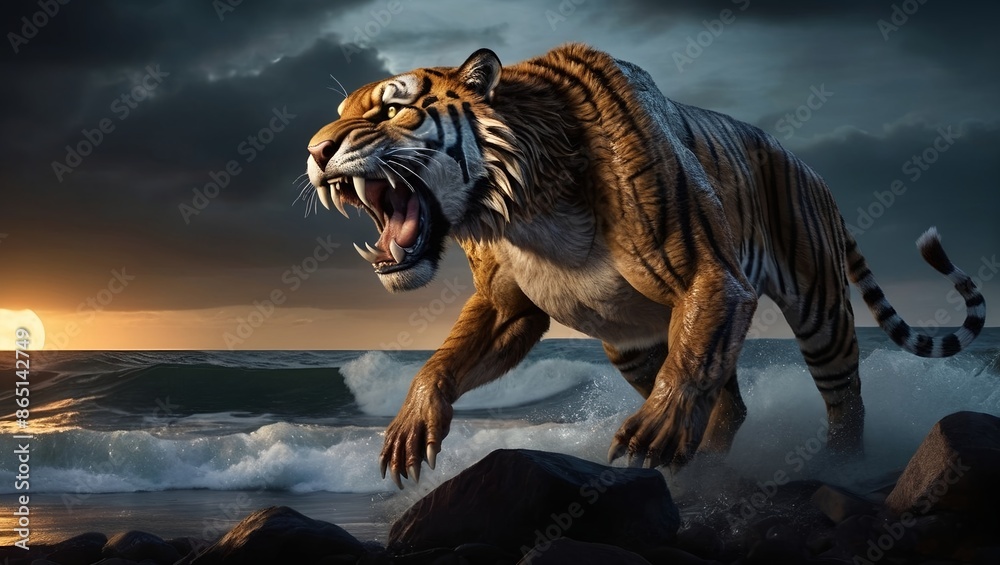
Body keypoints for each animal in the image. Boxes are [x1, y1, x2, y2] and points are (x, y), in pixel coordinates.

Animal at [305, 43, 986, 489]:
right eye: (339, 113)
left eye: (392, 111)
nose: (314, 149)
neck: (523, 208)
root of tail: (815, 174)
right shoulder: (506, 305)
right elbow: (446, 357)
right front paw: (413, 421)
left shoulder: (711, 276)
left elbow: (687, 371)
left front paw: (655, 430)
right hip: (628, 340)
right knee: (728, 400)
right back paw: (703, 468)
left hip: (819, 310)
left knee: (845, 398)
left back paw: (841, 468)